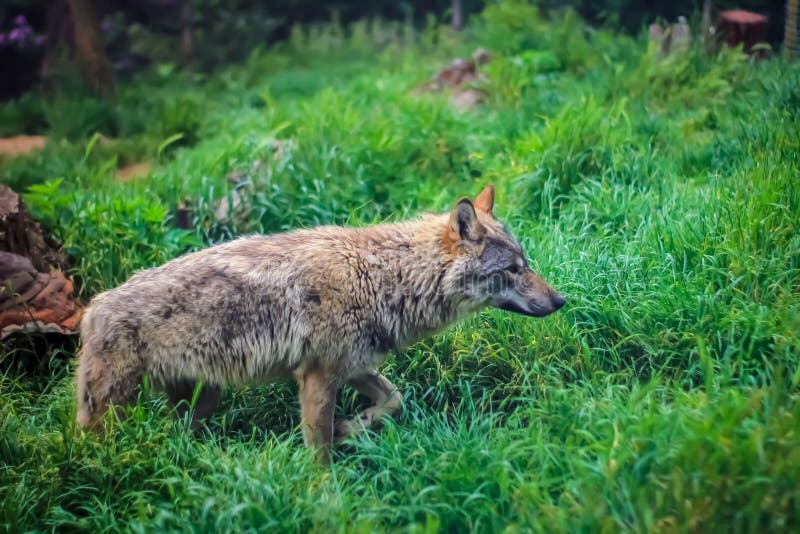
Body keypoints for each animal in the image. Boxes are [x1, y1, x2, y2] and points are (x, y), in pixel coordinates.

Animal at [76, 185, 564, 461]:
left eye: (526, 264)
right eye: (514, 270)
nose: (561, 300)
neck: (382, 276)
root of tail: (91, 308)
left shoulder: (356, 366)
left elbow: (395, 399)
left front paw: (353, 428)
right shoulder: (317, 378)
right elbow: (320, 455)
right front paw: (326, 496)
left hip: (202, 400)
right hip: (109, 416)